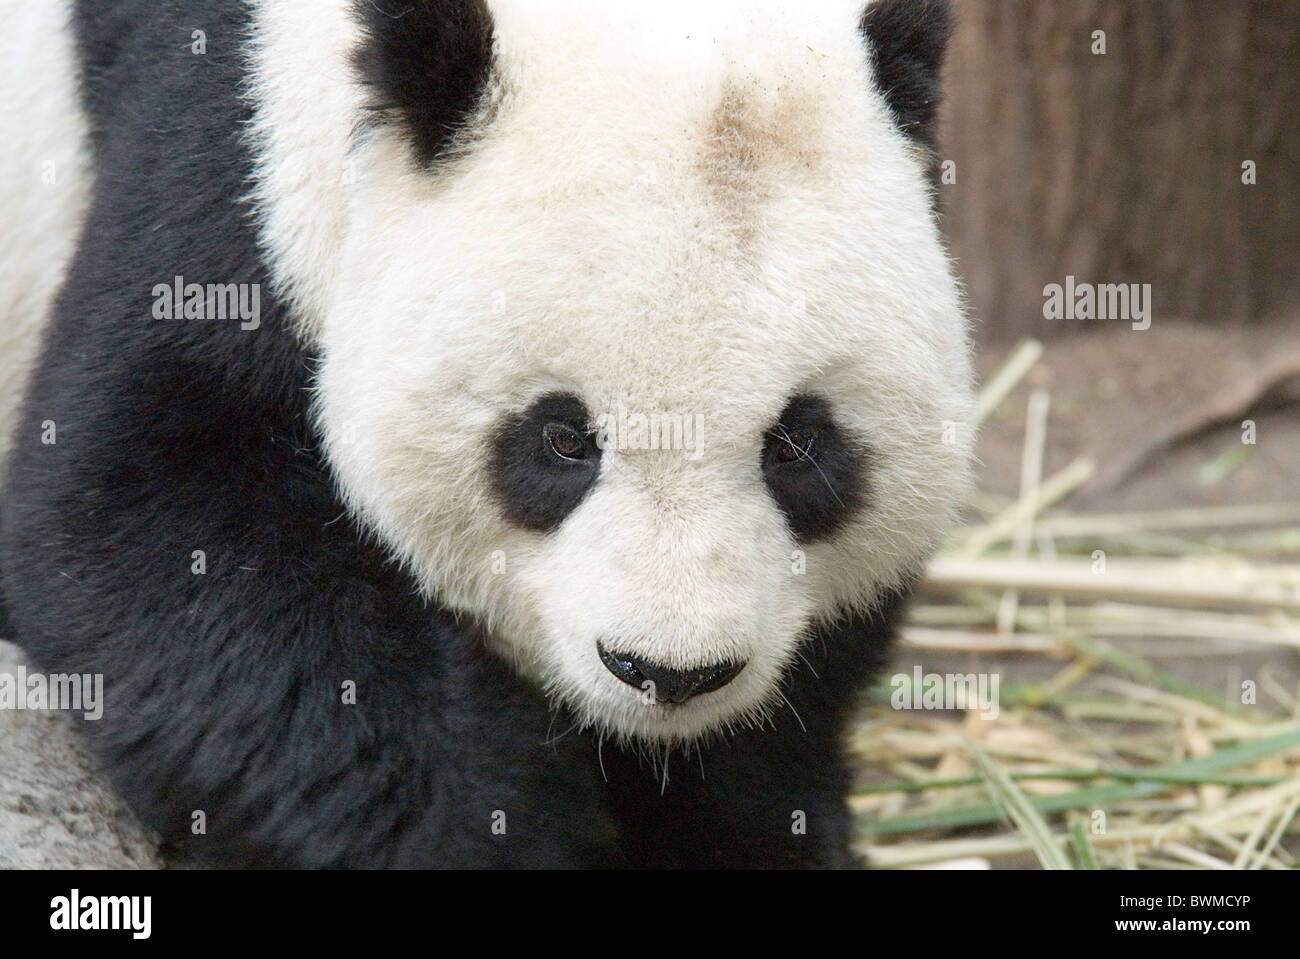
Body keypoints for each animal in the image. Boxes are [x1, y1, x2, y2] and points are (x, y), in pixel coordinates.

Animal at [0, 0, 973, 868]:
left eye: (797, 447)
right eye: (562, 439)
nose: (667, 672)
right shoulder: (232, 169)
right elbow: (148, 522)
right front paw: (498, 830)